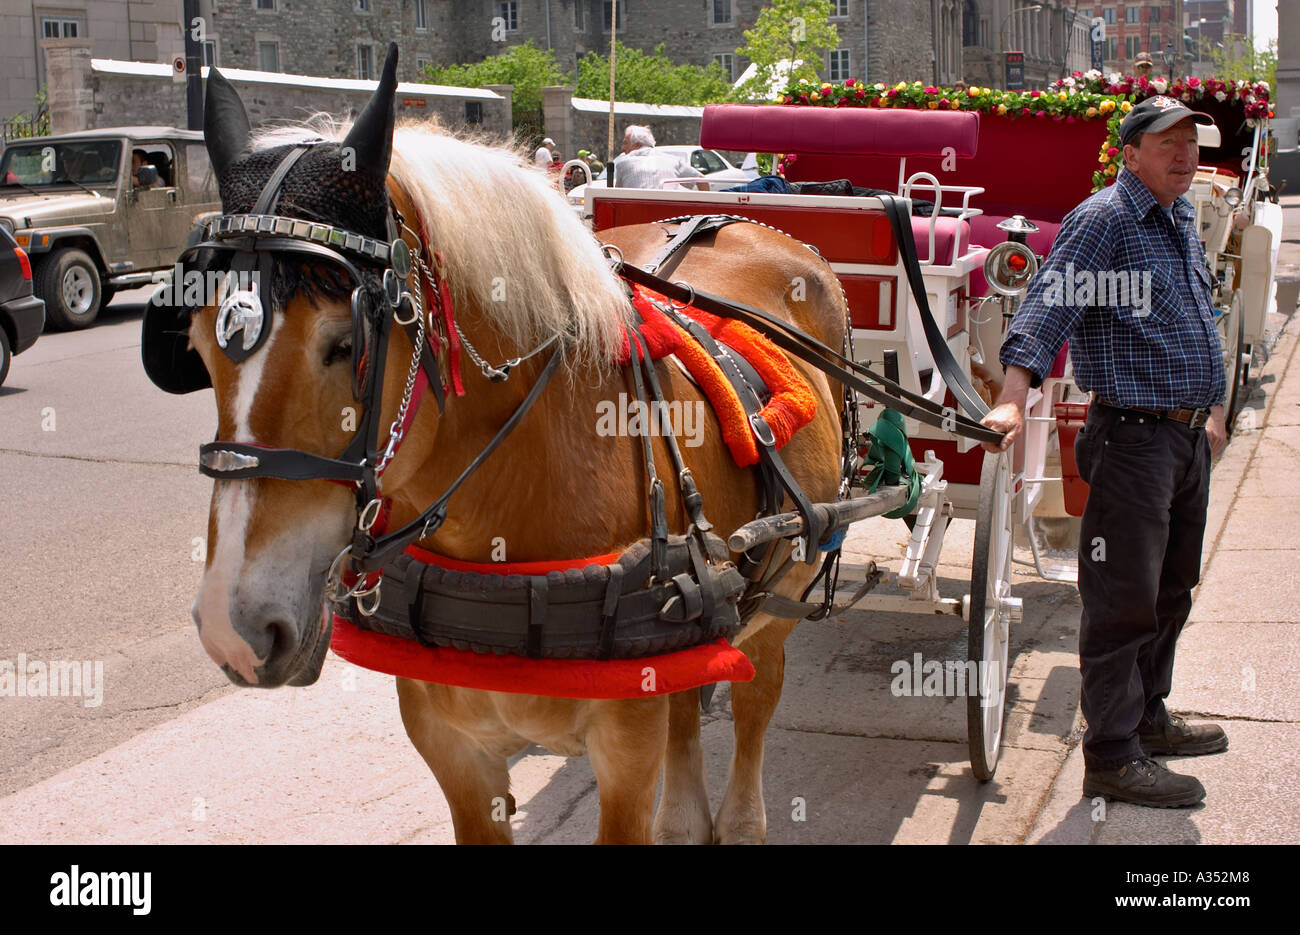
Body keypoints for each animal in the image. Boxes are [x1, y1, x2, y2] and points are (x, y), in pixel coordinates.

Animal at [171, 46, 847, 844]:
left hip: (783, 584)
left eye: (344, 344)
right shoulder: (452, 745)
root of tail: (738, 218)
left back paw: (740, 814)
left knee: (755, 699)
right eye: (195, 348)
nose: (232, 625)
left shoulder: (625, 749)